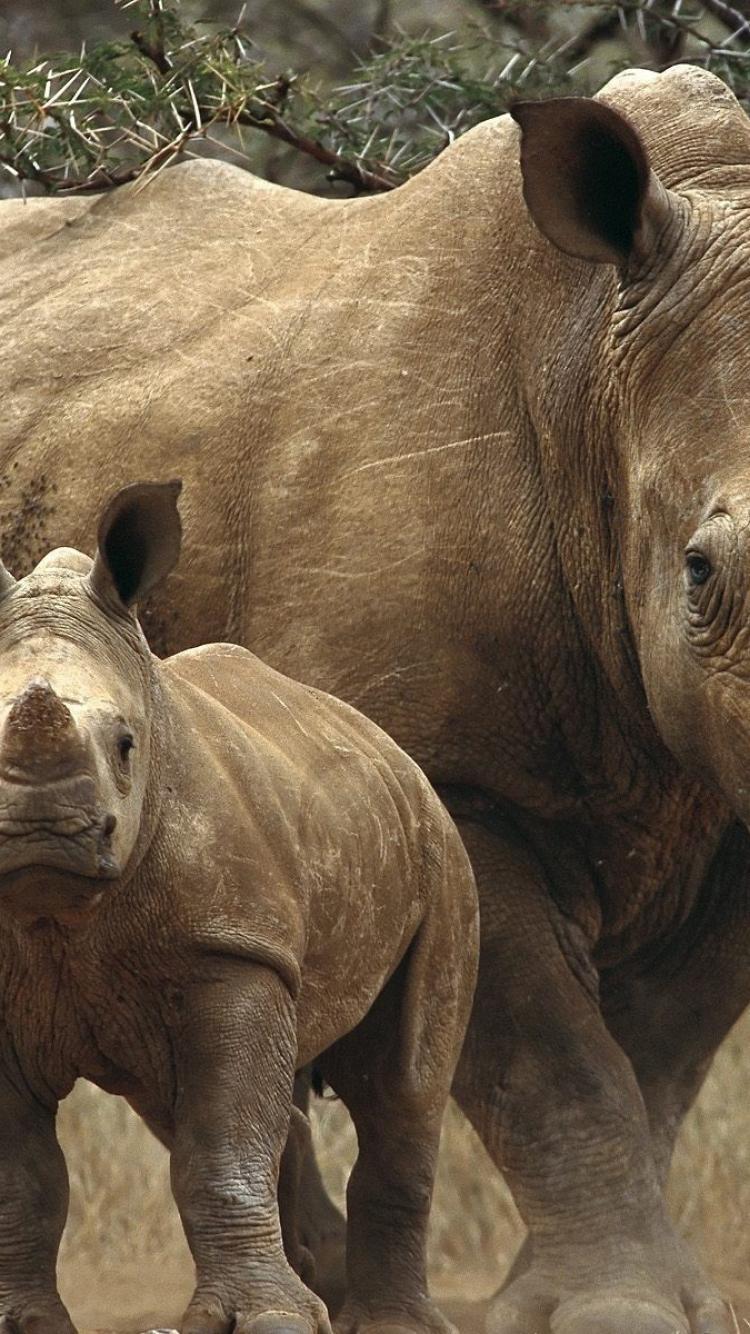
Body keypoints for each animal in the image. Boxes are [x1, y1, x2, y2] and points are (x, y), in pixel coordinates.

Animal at [0, 480, 478, 1334]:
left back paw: (382, 1321)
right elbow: (25, 1177)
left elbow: (220, 1144)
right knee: (201, 1102)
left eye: (126, 745)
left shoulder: (232, 946)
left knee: (401, 1087)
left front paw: (267, 1322)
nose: (40, 831)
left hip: (440, 845)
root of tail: (383, 742)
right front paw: (22, 1323)